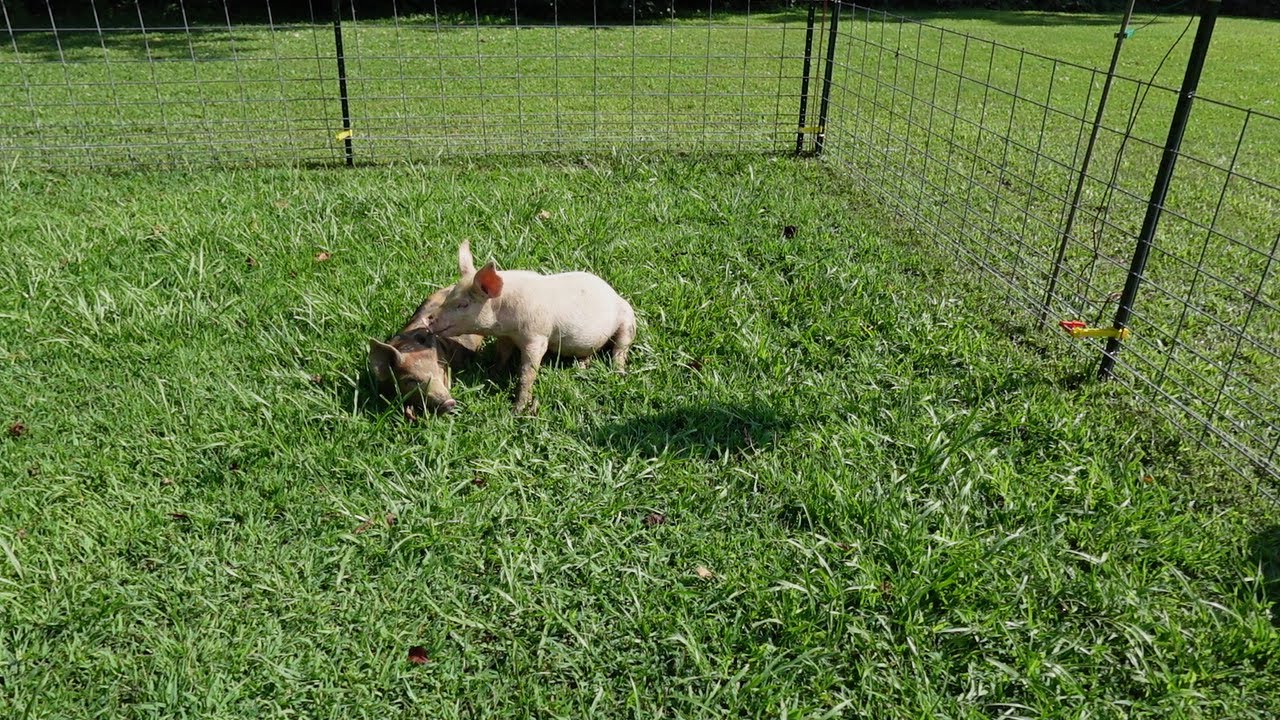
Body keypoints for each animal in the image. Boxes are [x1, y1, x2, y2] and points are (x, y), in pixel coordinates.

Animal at [425, 241, 636, 415]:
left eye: (463, 304)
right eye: (448, 295)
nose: (428, 319)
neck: (505, 318)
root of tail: (615, 294)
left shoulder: (537, 336)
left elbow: (527, 372)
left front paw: (516, 410)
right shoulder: (506, 336)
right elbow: (502, 354)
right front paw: (492, 374)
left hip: (628, 319)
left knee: (620, 348)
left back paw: (618, 373)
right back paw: (581, 367)